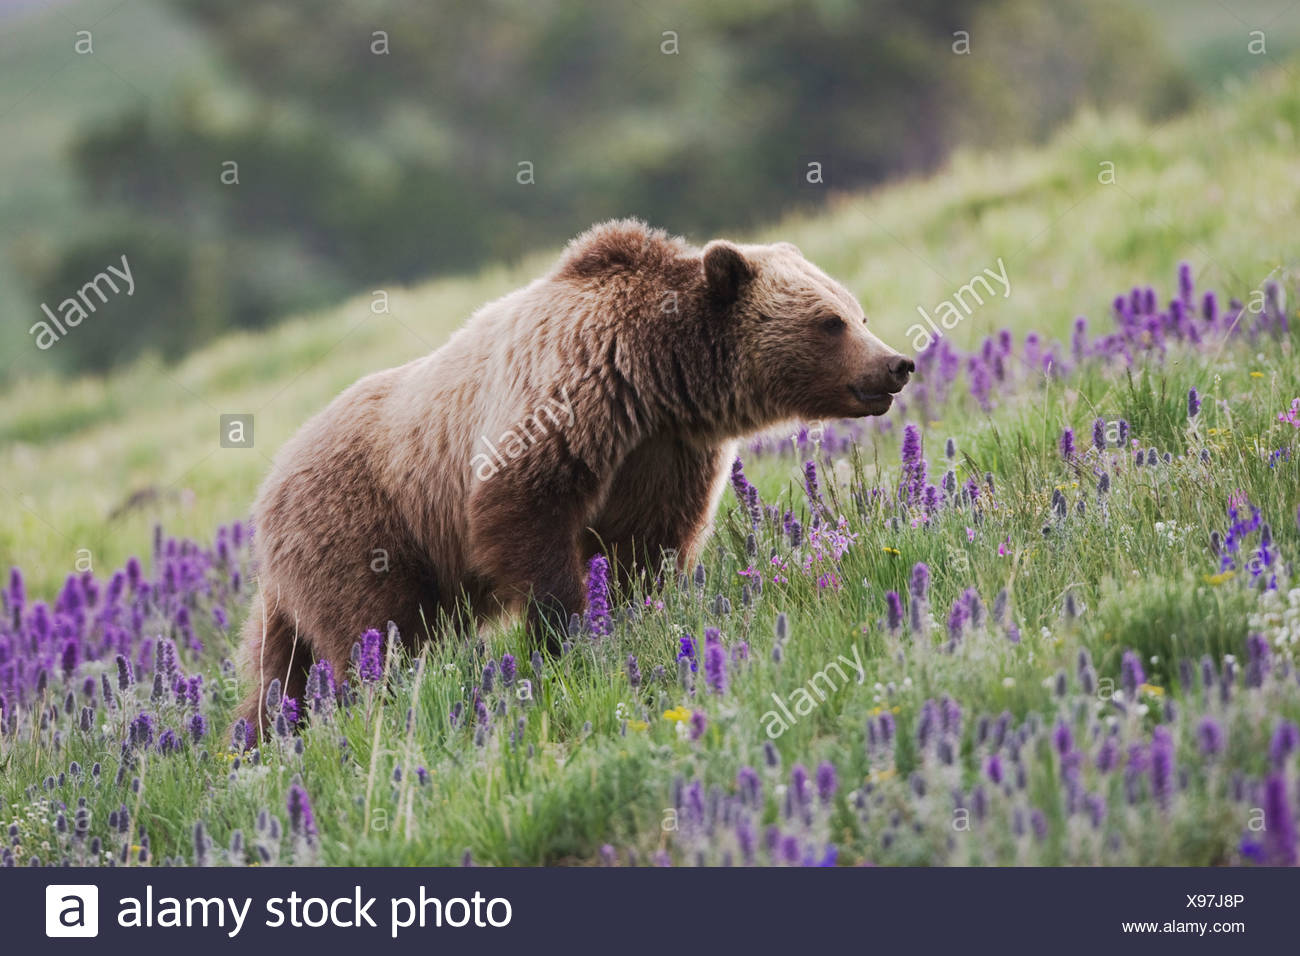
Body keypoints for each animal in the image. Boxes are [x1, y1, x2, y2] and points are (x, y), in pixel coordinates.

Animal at [234, 219, 912, 730]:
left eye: (858, 313)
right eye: (830, 321)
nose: (897, 364)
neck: (656, 376)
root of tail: (266, 490)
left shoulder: (664, 454)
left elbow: (649, 549)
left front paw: (642, 615)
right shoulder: (564, 403)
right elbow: (529, 523)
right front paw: (570, 636)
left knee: (278, 670)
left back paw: (265, 738)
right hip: (362, 527)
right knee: (378, 630)